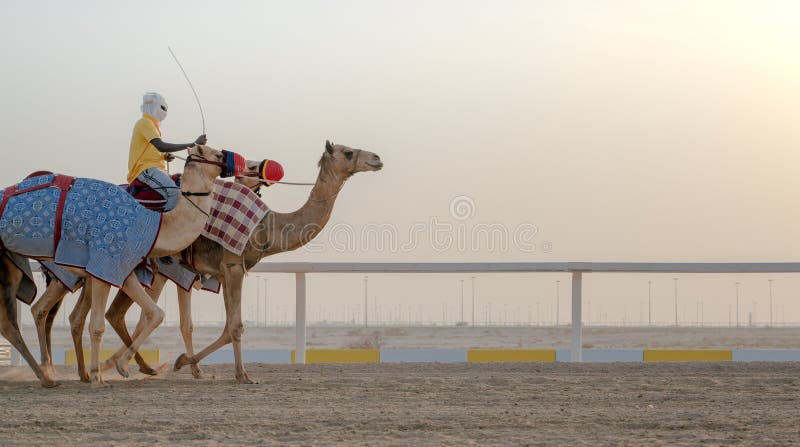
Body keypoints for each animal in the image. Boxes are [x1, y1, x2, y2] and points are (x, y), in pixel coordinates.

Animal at [0, 145, 228, 387]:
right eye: (210, 152)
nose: (226, 157)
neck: (155, 226)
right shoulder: (106, 260)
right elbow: (100, 325)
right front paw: (102, 373)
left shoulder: (121, 269)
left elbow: (156, 314)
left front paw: (117, 367)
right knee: (31, 315)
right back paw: (51, 374)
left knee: (41, 312)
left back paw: (56, 374)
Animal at [77, 140, 382, 383]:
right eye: (348, 151)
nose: (377, 158)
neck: (267, 226)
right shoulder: (234, 266)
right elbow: (236, 326)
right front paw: (242, 374)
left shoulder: (222, 272)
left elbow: (221, 327)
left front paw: (188, 364)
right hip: (145, 267)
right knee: (120, 313)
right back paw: (115, 366)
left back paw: (111, 368)